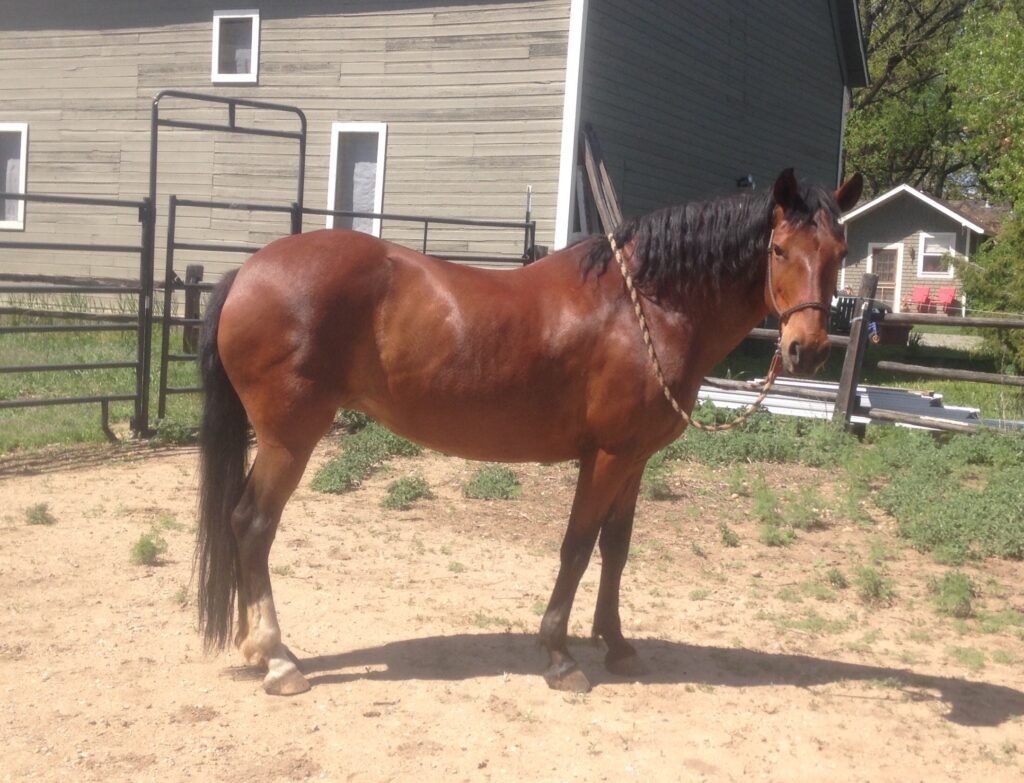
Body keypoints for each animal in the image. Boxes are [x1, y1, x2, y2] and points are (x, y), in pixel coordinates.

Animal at [196, 168, 863, 696]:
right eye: (779, 250)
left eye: (840, 250)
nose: (807, 351)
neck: (645, 306)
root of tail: (247, 271)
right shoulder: (606, 456)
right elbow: (577, 547)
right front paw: (560, 656)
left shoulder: (634, 458)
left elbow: (616, 550)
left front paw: (617, 645)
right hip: (289, 439)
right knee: (252, 525)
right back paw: (279, 660)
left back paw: (257, 647)